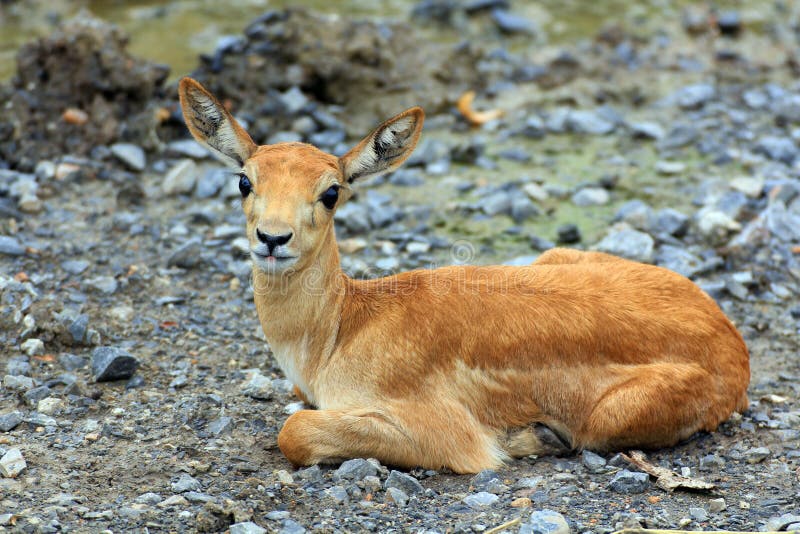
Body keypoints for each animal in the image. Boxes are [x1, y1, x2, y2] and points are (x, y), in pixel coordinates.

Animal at [178, 78, 750, 473]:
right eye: (244, 180)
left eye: (331, 191)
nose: (273, 238)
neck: (338, 334)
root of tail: (732, 343)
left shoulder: (436, 428)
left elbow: (293, 430)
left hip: (613, 415)